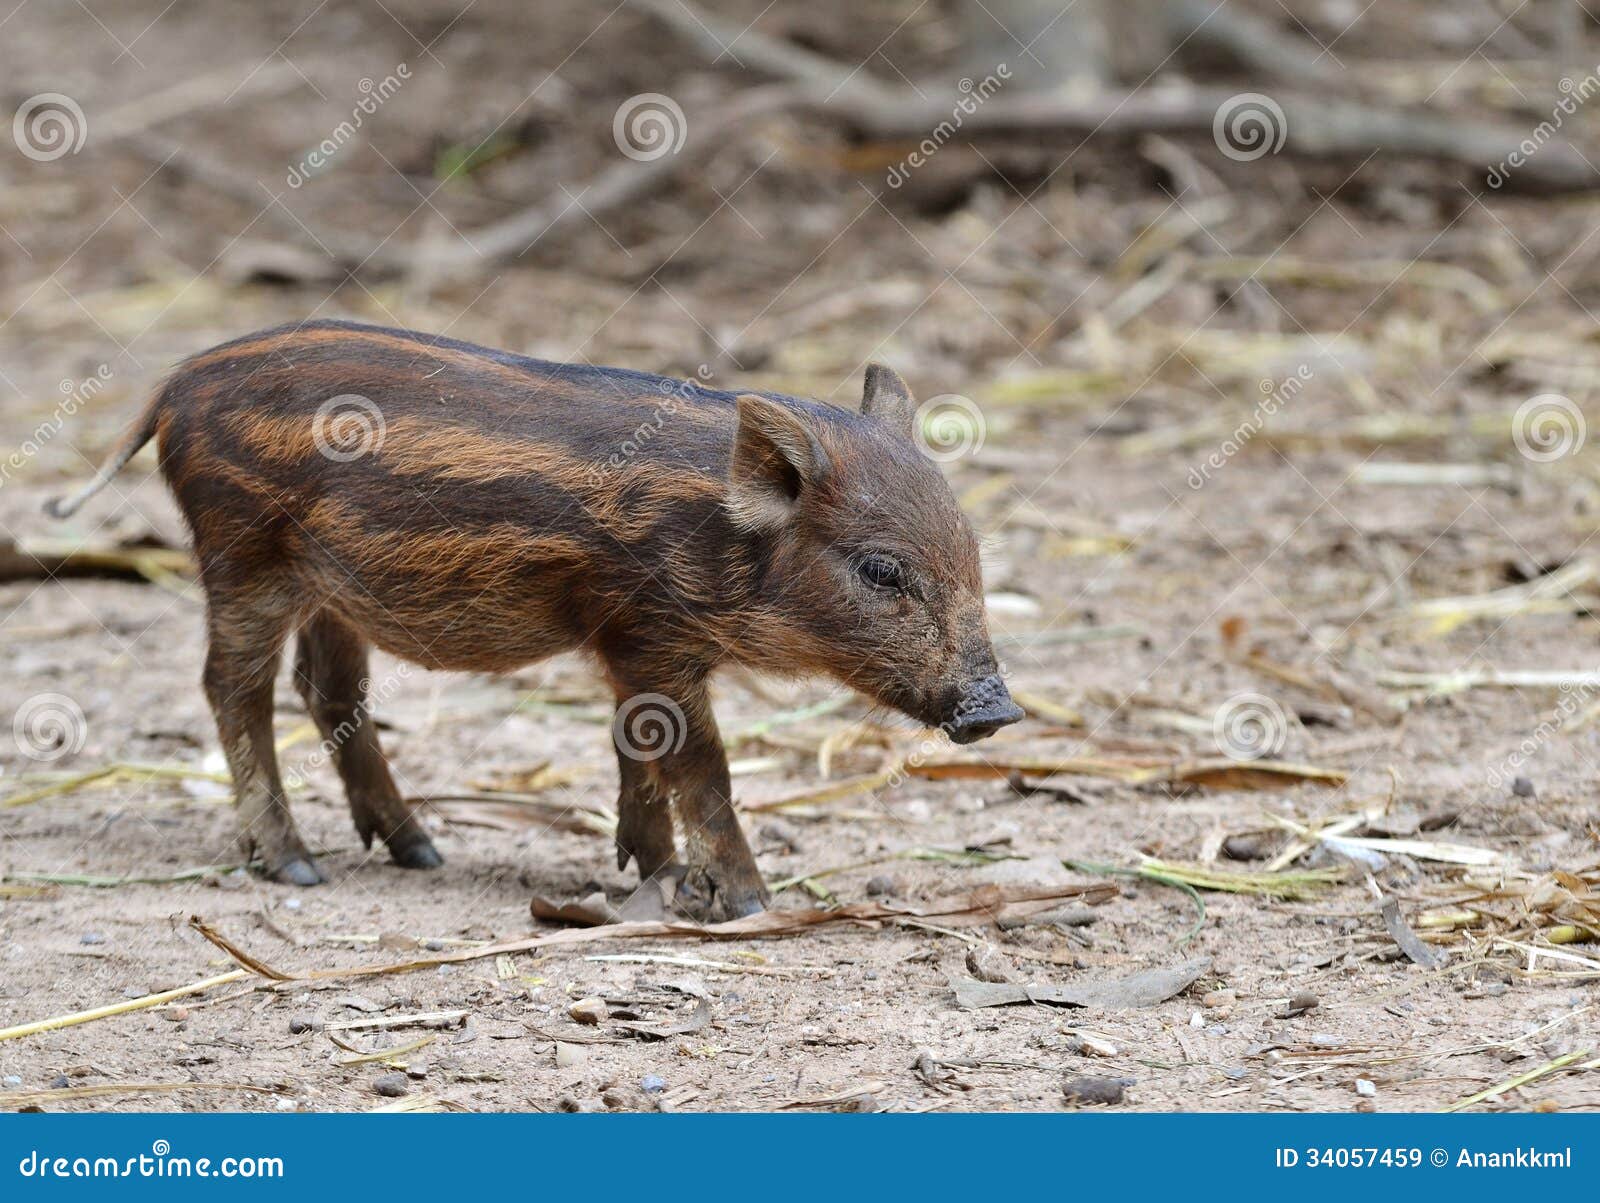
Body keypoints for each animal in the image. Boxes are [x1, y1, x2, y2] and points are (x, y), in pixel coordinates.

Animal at [47, 320, 1022, 918]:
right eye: (882, 569)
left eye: (973, 549)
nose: (997, 708)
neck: (712, 528)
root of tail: (173, 388)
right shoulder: (650, 633)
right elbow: (699, 762)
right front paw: (748, 901)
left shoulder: (631, 645)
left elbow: (638, 746)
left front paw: (654, 870)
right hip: (242, 556)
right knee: (232, 687)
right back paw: (295, 863)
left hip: (333, 588)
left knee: (330, 690)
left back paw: (421, 851)